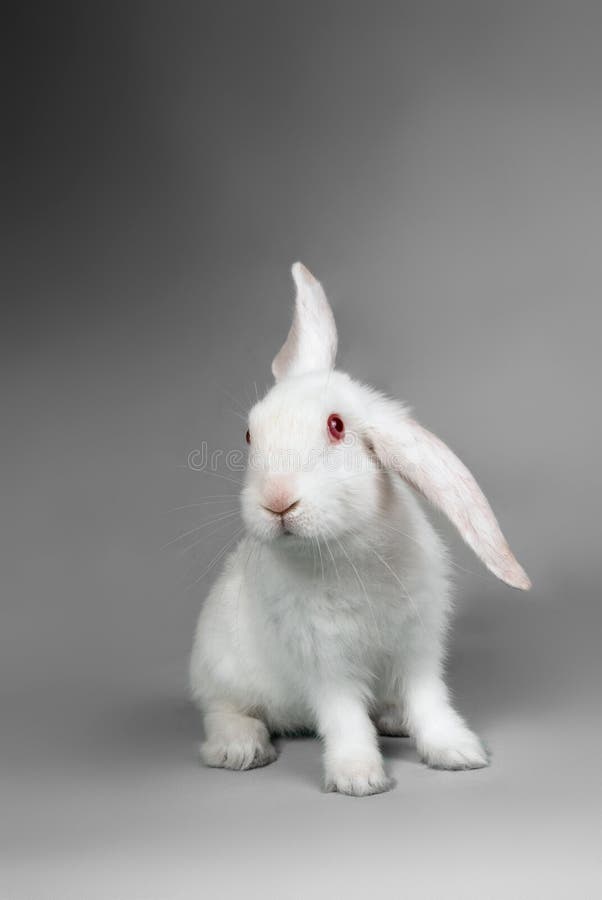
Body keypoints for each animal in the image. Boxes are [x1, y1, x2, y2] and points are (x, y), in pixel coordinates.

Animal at [189, 262, 531, 796]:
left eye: (337, 426)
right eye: (249, 434)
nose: (277, 501)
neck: (348, 551)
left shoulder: (418, 646)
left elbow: (430, 702)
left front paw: (458, 753)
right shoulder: (325, 661)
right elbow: (344, 716)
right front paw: (359, 777)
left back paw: (392, 719)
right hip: (223, 669)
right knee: (223, 711)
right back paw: (240, 749)